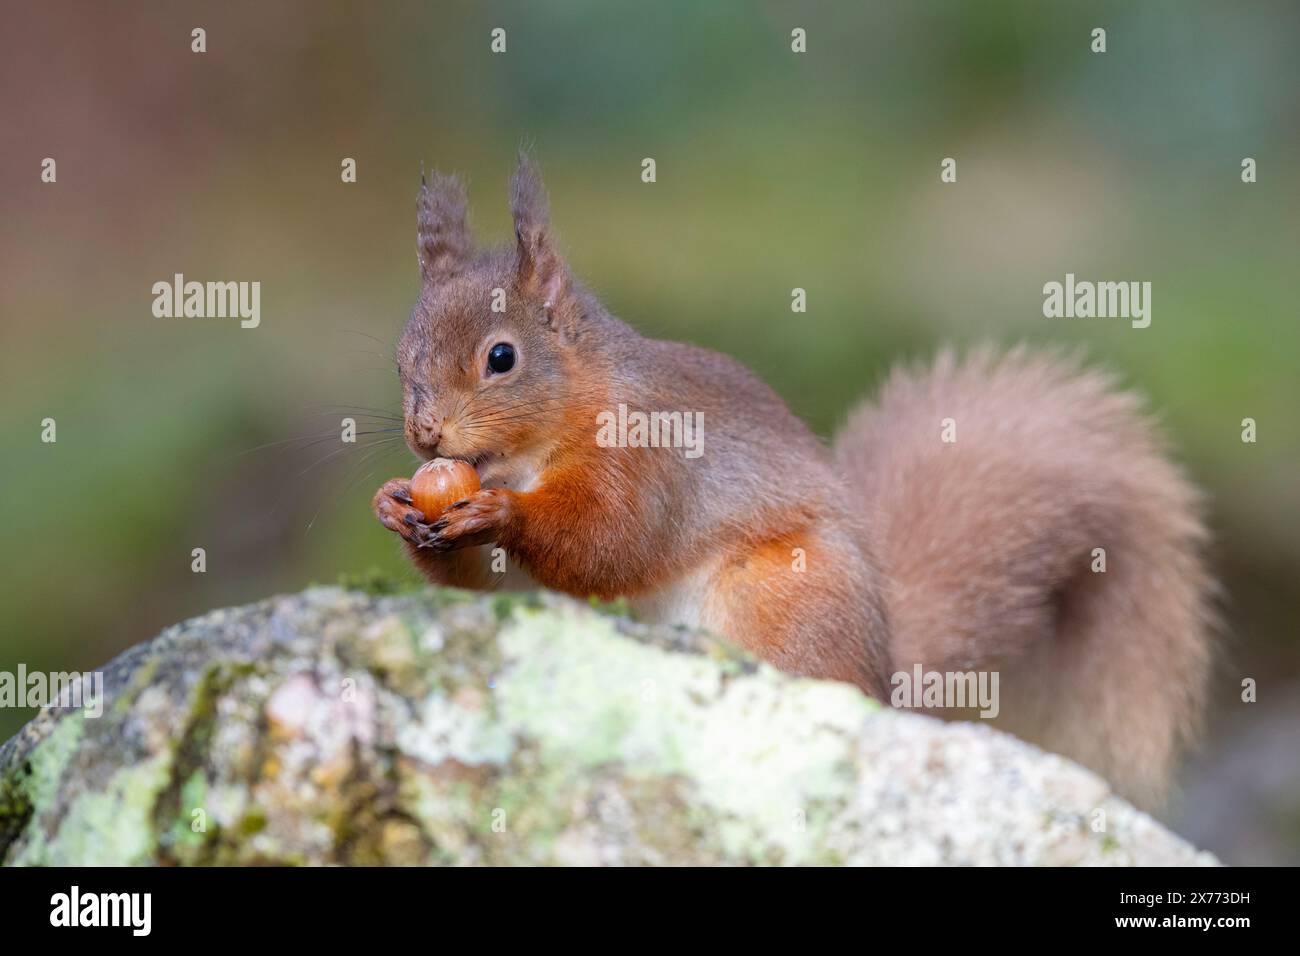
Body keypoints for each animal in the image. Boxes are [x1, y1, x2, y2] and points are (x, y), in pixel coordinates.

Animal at [372, 155, 1214, 809]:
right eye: (403, 355)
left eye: (502, 357)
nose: (425, 435)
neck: (556, 427)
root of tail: (884, 674)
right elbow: (485, 586)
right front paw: (398, 505)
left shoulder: (647, 460)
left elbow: (608, 541)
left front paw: (498, 513)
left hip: (781, 599)